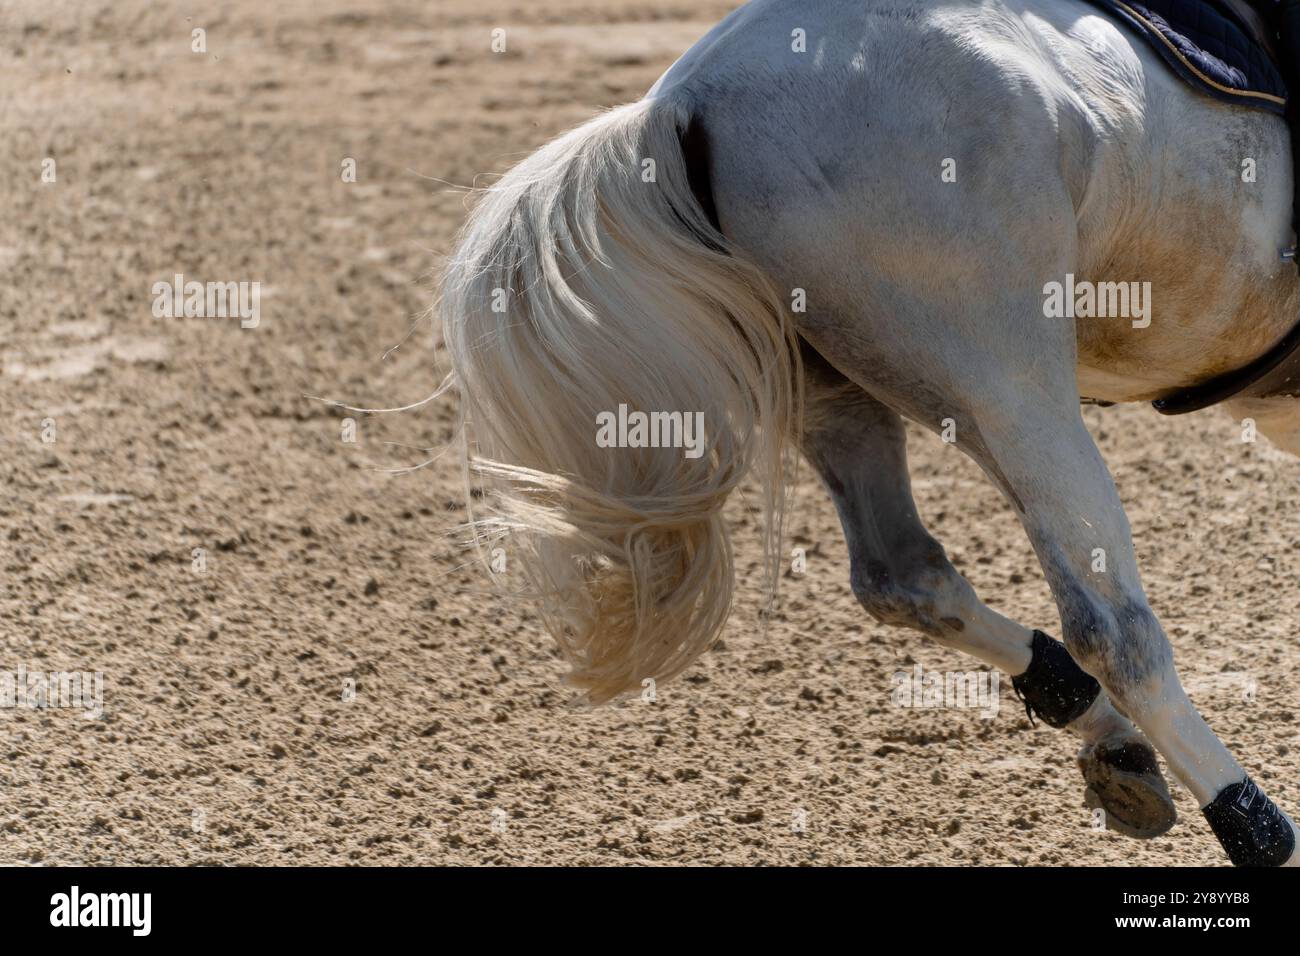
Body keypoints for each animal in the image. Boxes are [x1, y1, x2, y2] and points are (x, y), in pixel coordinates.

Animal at [437, 0, 1300, 865]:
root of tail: (687, 99)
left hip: (843, 388)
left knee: (901, 573)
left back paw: (1104, 734)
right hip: (1010, 385)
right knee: (1112, 628)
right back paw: (1255, 825)